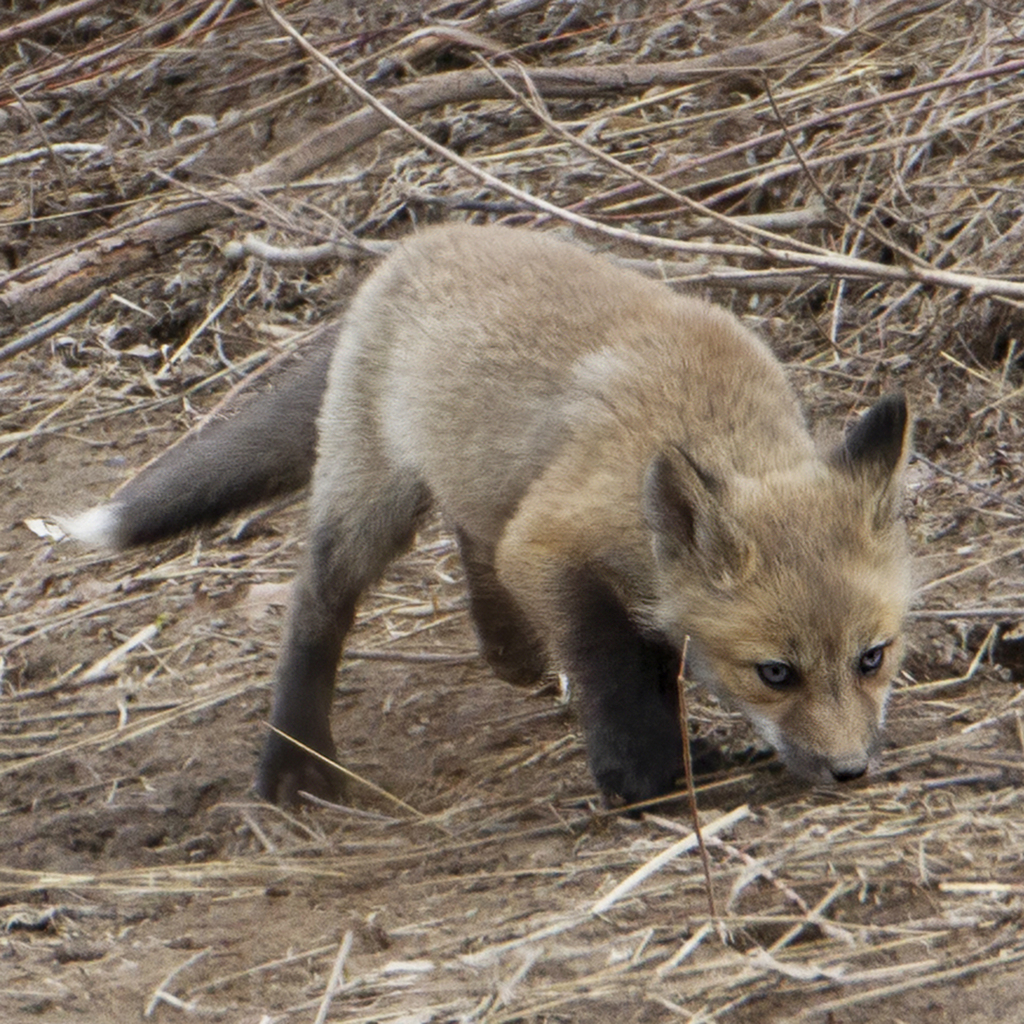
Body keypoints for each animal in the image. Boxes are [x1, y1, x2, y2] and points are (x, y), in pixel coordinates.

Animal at [63, 224, 912, 807]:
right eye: (775, 673)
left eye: (872, 658)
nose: (850, 770)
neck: (709, 424)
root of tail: (409, 249)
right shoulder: (551, 543)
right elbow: (611, 664)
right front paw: (640, 775)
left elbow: (651, 660)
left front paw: (675, 755)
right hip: (369, 506)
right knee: (316, 608)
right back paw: (297, 759)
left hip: (473, 480)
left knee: (472, 537)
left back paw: (507, 651)